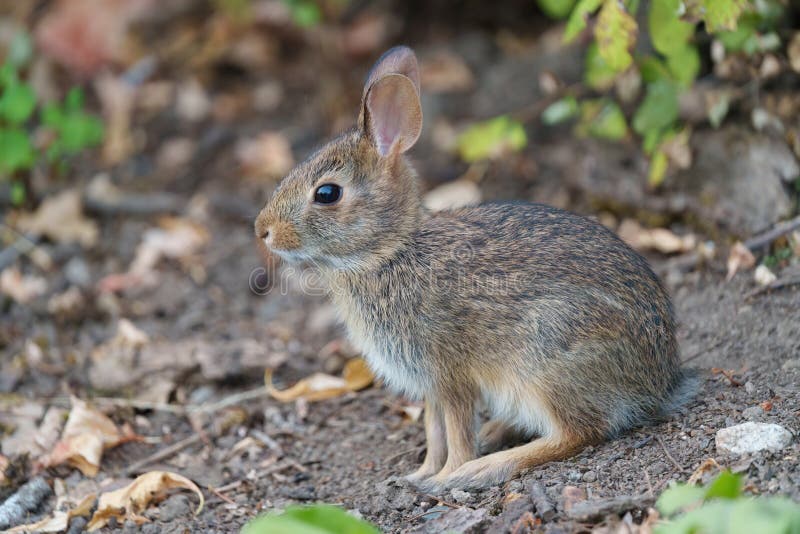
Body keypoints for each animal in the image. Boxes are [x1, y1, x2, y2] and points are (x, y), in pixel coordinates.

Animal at [254, 46, 697, 492]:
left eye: (327, 193)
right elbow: (434, 433)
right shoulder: (430, 387)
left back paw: (485, 467)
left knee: (579, 432)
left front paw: (446, 477)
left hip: (547, 361)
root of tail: (658, 381)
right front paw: (418, 475)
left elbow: (456, 433)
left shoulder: (450, 377)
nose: (263, 230)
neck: (389, 251)